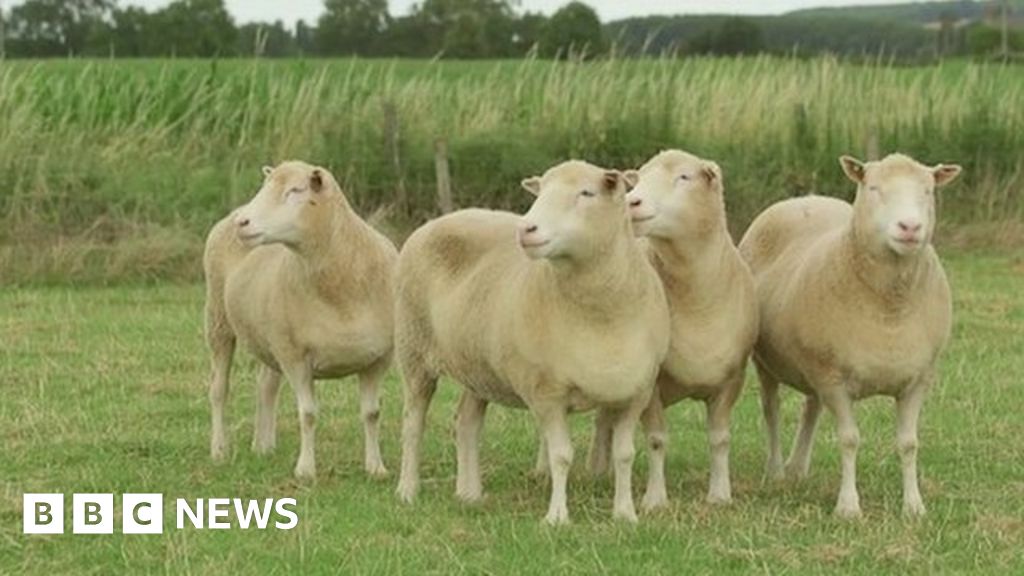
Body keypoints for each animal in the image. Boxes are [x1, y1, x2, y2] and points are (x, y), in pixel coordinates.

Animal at [204, 161, 398, 480]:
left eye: (295, 190)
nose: (242, 223)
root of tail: (232, 212)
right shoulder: (295, 357)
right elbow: (308, 414)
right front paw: (306, 470)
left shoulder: (379, 358)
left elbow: (372, 413)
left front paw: (376, 467)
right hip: (218, 319)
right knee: (219, 388)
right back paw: (219, 449)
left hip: (268, 335)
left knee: (265, 386)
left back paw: (263, 445)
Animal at [393, 160, 670, 524]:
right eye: (541, 192)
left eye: (587, 192)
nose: (526, 229)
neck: (602, 315)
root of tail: (438, 220)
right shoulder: (547, 393)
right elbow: (561, 455)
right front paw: (557, 518)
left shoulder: (635, 392)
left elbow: (624, 454)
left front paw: (625, 514)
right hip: (413, 350)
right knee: (413, 423)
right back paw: (407, 490)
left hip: (477, 367)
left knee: (466, 422)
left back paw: (469, 494)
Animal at [583, 150, 758, 509]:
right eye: (639, 178)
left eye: (684, 178)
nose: (632, 202)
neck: (697, 303)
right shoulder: (650, 383)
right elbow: (656, 440)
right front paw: (655, 499)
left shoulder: (732, 380)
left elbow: (720, 439)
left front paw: (720, 494)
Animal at [738, 153, 962, 518]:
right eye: (874, 188)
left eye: (928, 191)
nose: (910, 227)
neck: (890, 309)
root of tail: (804, 199)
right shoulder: (834, 379)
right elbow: (849, 439)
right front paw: (848, 507)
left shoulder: (918, 378)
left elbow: (909, 444)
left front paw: (914, 506)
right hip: (769, 362)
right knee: (772, 410)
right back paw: (776, 471)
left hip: (814, 365)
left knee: (810, 408)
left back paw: (798, 468)